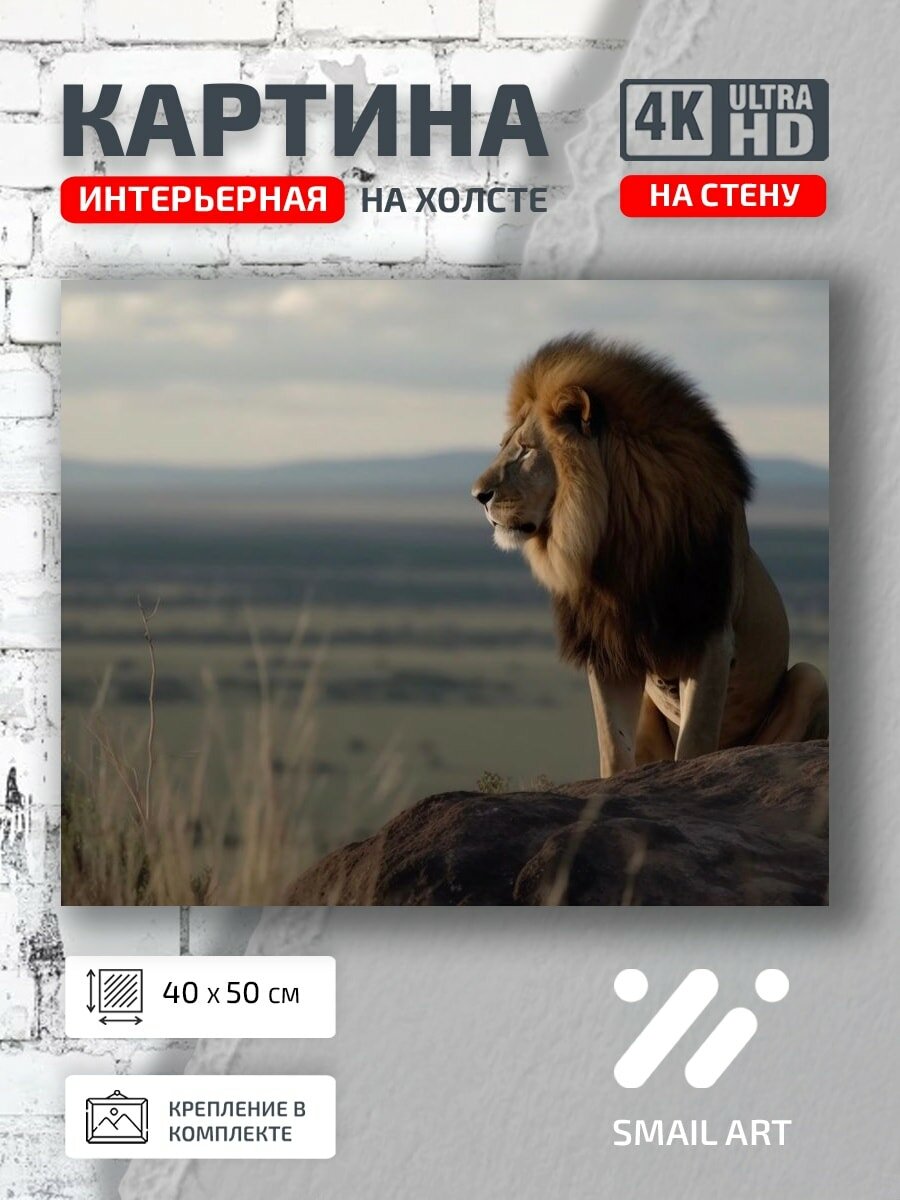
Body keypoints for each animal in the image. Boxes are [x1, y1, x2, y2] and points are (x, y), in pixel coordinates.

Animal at [471, 334, 828, 778]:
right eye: (505, 447)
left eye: (525, 451)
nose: (478, 495)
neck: (618, 539)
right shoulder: (609, 647)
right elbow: (613, 747)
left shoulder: (710, 636)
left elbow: (694, 743)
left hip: (812, 678)